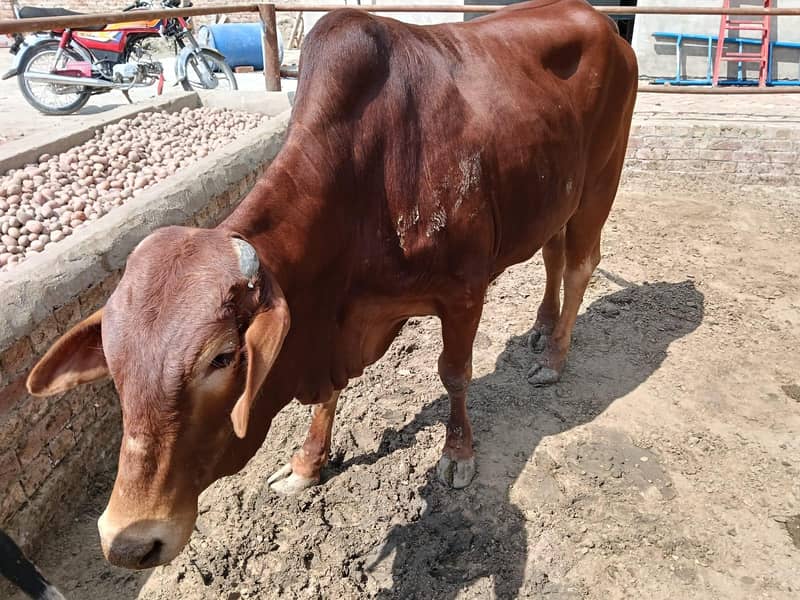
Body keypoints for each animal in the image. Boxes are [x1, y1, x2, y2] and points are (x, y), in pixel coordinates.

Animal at [25, 0, 637, 570]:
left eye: (222, 357)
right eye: (113, 361)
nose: (129, 542)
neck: (371, 176)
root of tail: (600, 21)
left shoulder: (464, 292)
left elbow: (455, 375)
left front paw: (458, 454)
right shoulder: (329, 322)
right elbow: (329, 396)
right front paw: (306, 465)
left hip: (599, 181)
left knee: (580, 264)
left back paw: (554, 357)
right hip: (555, 196)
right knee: (554, 255)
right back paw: (540, 329)